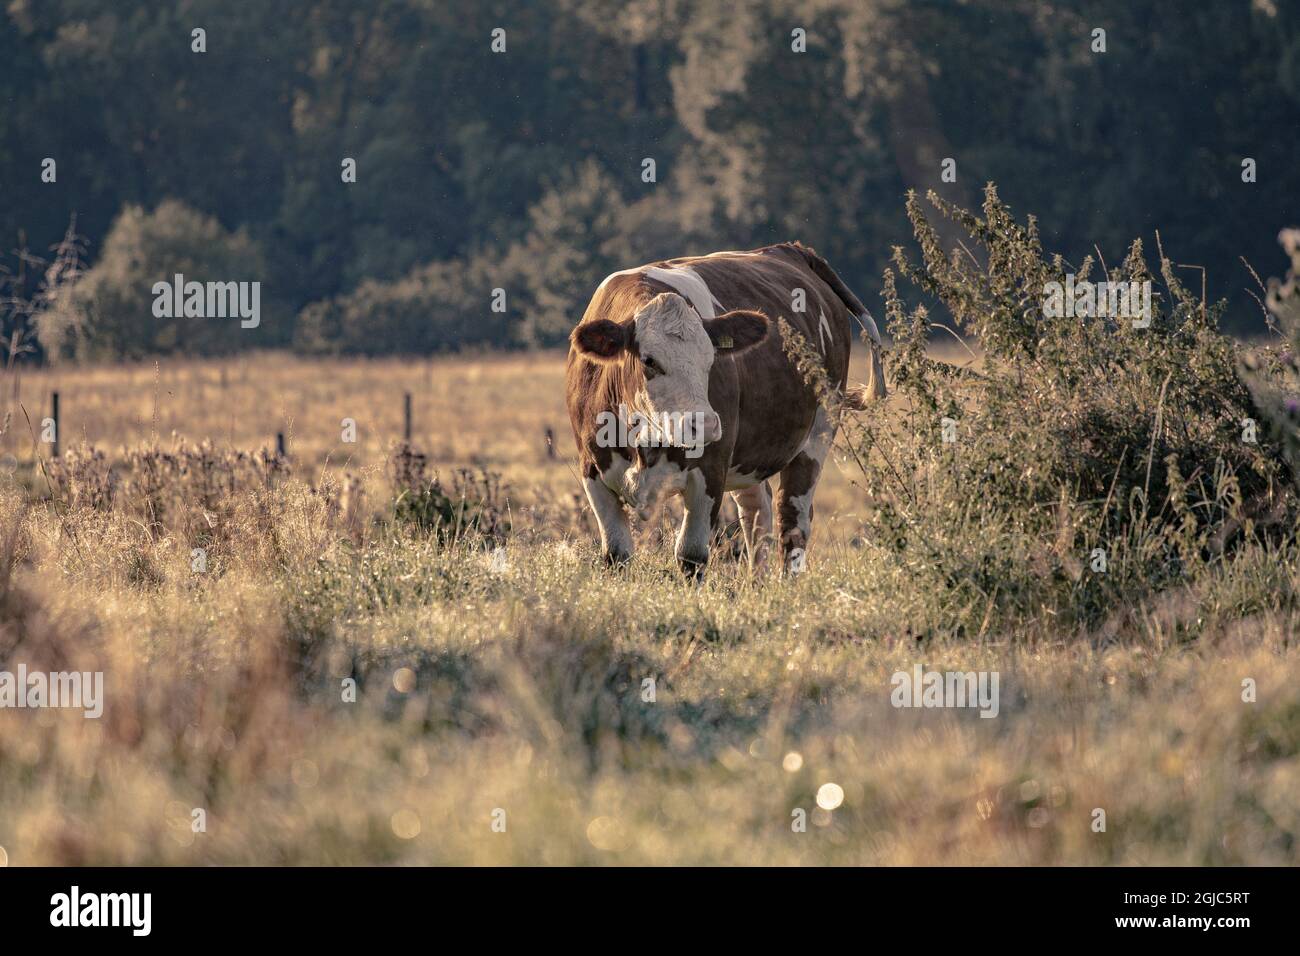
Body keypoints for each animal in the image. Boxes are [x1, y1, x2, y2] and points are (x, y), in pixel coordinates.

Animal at [565, 242, 886, 578]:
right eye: (649, 360)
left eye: (711, 359)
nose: (704, 425)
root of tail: (794, 251)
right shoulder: (593, 472)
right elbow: (617, 555)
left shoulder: (711, 471)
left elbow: (691, 555)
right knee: (756, 514)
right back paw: (756, 582)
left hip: (818, 432)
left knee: (792, 518)